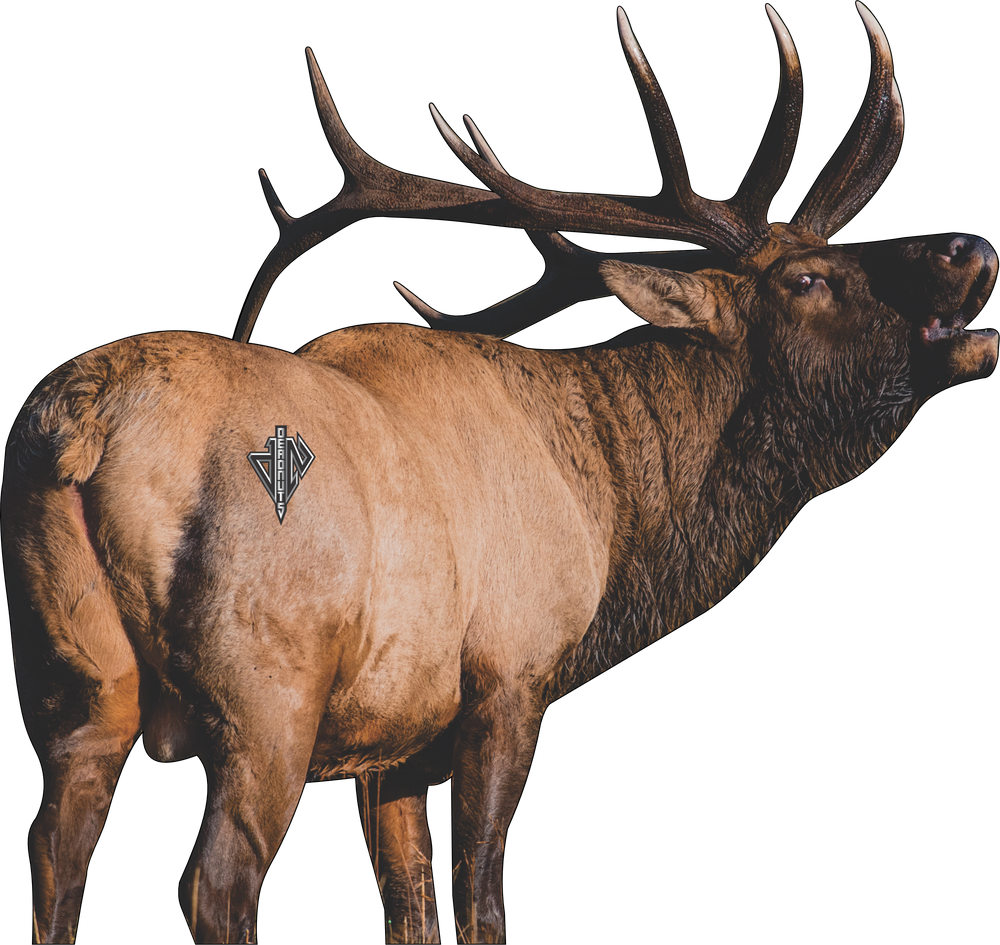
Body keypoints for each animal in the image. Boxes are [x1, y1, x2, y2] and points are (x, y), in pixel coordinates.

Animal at [5, 4, 995, 943]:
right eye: (807, 278)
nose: (971, 248)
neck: (605, 511)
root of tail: (83, 426)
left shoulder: (394, 741)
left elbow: (410, 909)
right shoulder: (510, 676)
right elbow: (481, 899)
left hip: (70, 680)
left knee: (53, 851)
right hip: (265, 692)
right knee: (217, 883)